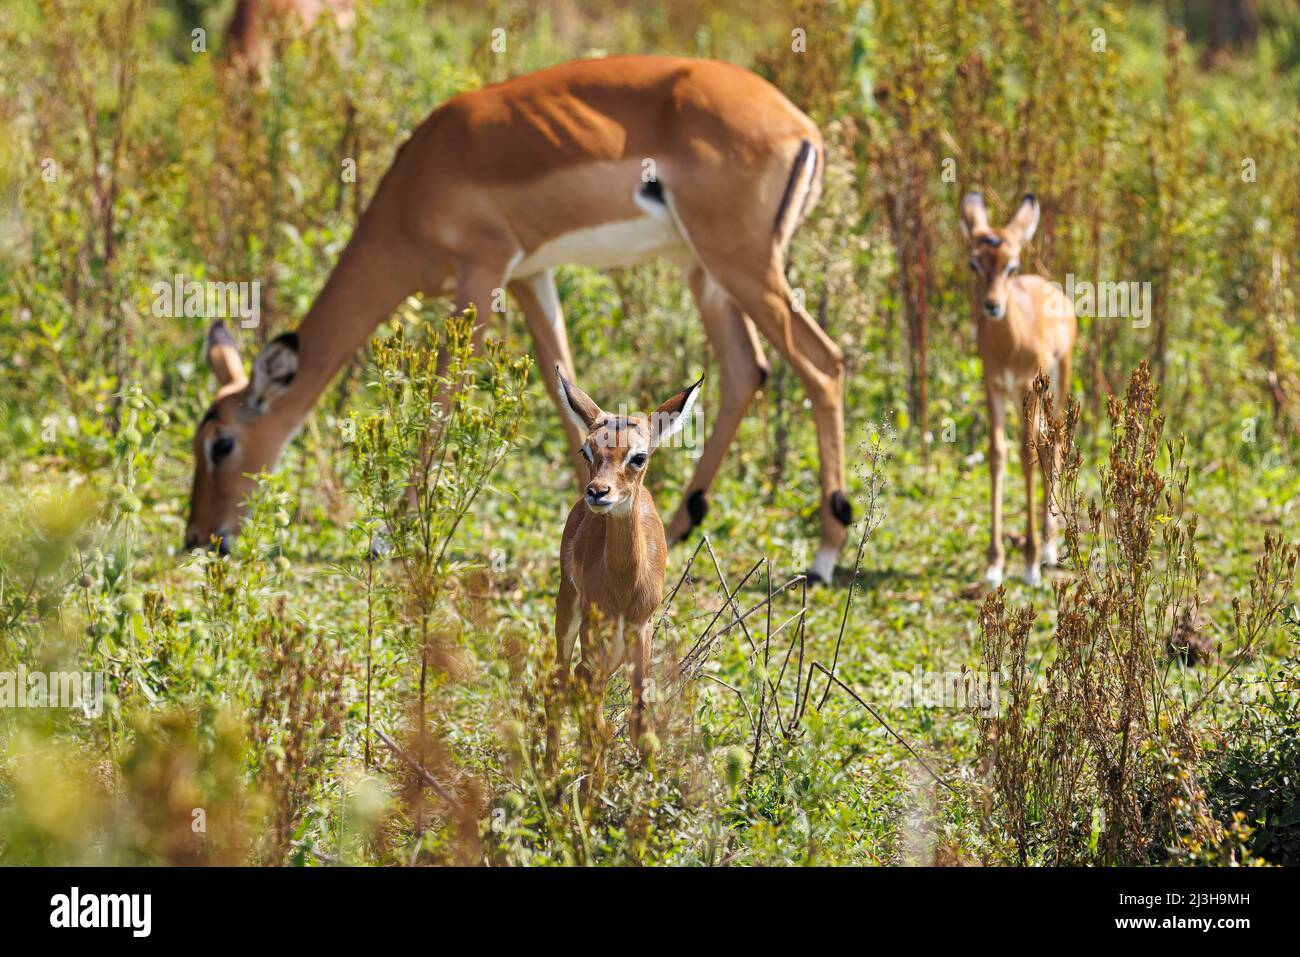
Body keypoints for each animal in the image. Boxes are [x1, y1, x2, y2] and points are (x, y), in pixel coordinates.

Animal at [183, 55, 852, 582]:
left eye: (221, 443)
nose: (199, 540)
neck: (419, 179)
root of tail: (802, 126)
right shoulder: (532, 276)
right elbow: (568, 396)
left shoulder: (482, 276)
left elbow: (441, 401)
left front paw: (384, 536)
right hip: (705, 270)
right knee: (745, 370)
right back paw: (686, 520)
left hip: (740, 262)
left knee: (823, 364)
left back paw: (824, 556)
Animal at [547, 366, 701, 771]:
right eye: (586, 449)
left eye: (638, 456)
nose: (598, 492)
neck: (623, 584)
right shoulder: (594, 628)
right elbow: (594, 717)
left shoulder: (641, 629)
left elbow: (642, 719)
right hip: (570, 612)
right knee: (562, 683)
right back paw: (550, 773)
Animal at [959, 192, 1077, 587]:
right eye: (974, 263)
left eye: (1010, 265)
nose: (992, 305)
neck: (1010, 342)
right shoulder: (994, 387)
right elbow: (997, 454)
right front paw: (994, 564)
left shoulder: (1029, 386)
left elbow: (1026, 455)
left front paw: (1029, 563)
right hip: (1020, 399)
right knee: (1043, 440)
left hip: (1054, 384)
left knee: (1053, 440)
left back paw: (1049, 548)